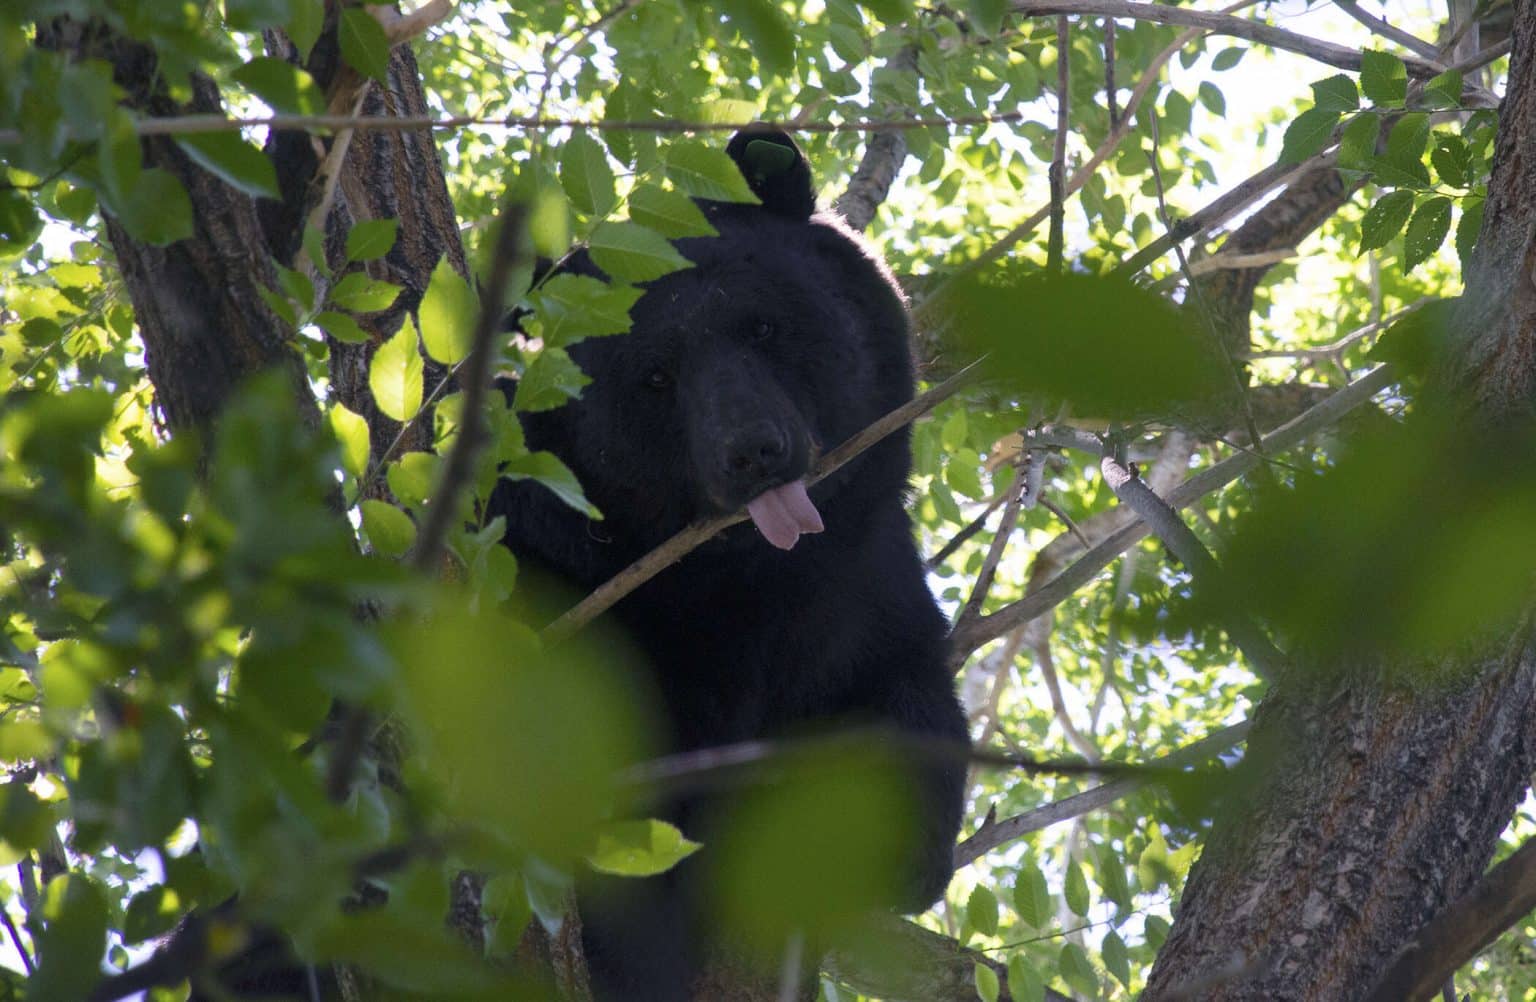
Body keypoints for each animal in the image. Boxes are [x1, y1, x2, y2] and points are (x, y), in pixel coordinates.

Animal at [486, 128, 969, 999]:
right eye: (653, 377)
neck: (747, 584)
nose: (753, 452)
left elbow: (901, 689)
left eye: (762, 328)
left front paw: (898, 839)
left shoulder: (865, 577)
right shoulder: (563, 590)